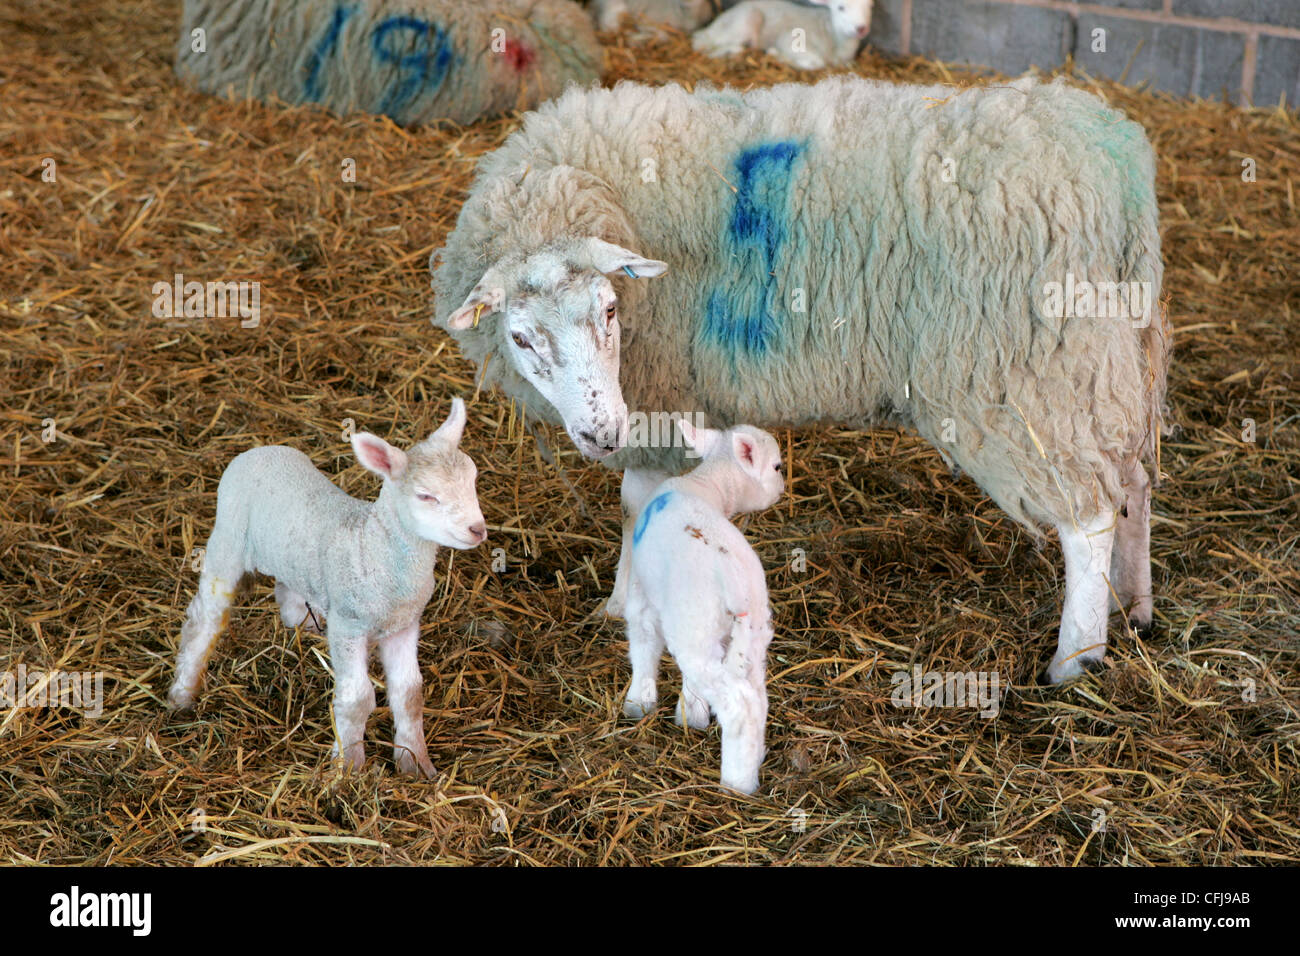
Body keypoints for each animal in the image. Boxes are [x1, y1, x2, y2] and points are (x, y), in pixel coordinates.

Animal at [167, 398, 486, 777]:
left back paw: (303, 625)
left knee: (287, 590)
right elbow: (358, 697)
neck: (373, 544)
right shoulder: (349, 623)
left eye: (473, 481)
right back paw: (183, 693)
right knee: (205, 620)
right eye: (426, 496)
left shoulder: (404, 625)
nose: (478, 529)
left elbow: (410, 694)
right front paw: (349, 769)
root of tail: (259, 450)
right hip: (227, 540)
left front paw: (416, 764)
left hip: (289, 553)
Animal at [430, 74, 1171, 684]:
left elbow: (639, 503)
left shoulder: (659, 399)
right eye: (521, 337)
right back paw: (1135, 608)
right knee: (1132, 483)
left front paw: (622, 603)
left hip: (1029, 374)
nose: (600, 432)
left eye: (609, 309)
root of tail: (1117, 166)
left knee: (1088, 518)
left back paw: (1075, 658)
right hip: (1103, 363)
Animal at [622, 420, 783, 794]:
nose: (783, 488)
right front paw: (691, 714)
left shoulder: (642, 593)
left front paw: (638, 703)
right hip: (751, 632)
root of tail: (735, 584)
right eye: (777, 467)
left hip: (695, 627)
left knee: (737, 704)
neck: (705, 484)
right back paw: (748, 771)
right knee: (755, 698)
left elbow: (643, 643)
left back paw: (735, 782)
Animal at [692, 0, 873, 70]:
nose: (861, 28)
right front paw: (777, 55)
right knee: (704, 46)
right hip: (744, 21)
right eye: (841, 7)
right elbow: (817, 62)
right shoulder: (790, 39)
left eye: (870, 6)